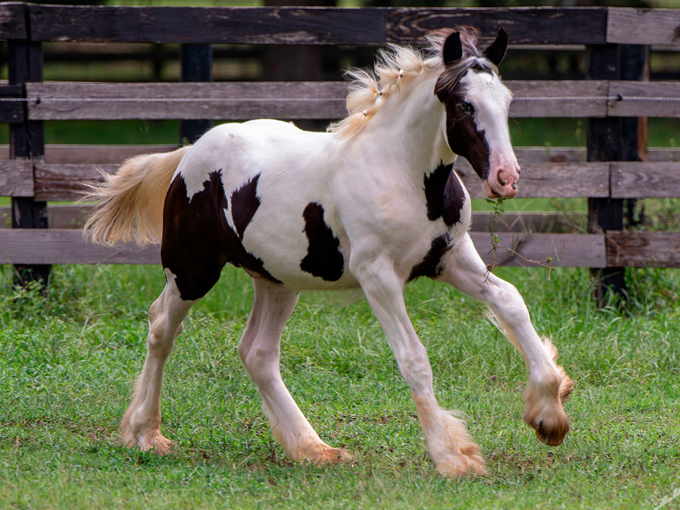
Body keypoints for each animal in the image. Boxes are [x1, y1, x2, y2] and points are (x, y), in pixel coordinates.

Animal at [83, 26, 573, 477]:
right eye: (465, 105)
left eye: (506, 101)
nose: (505, 179)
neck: (400, 171)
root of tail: (188, 154)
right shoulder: (378, 276)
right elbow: (414, 359)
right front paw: (454, 457)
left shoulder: (451, 258)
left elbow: (511, 302)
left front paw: (549, 415)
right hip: (192, 269)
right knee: (161, 327)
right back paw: (145, 434)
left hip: (278, 280)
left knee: (257, 353)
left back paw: (313, 449)